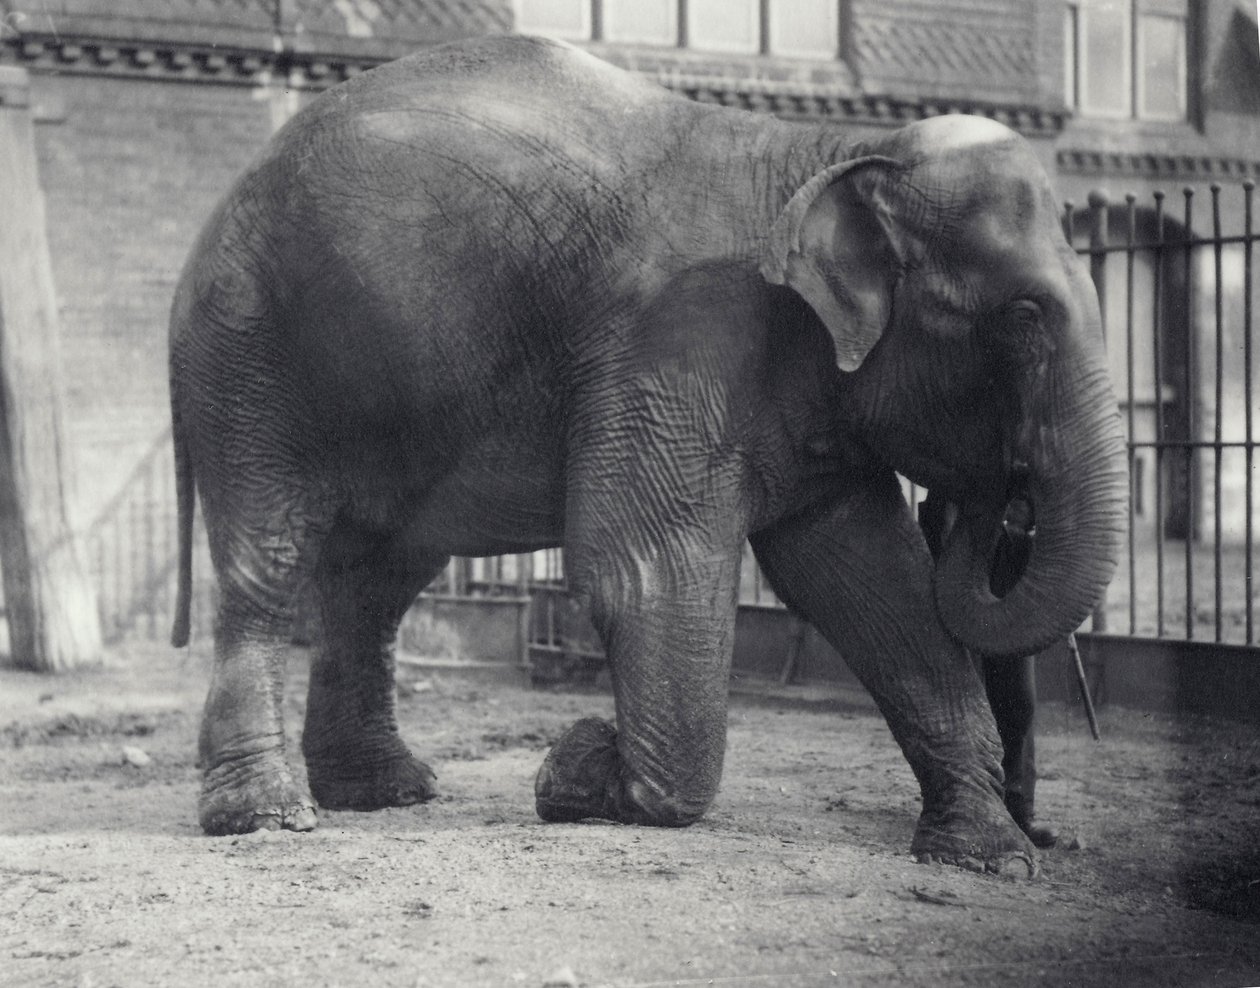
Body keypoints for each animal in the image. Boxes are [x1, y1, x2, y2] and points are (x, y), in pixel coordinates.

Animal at [168, 34, 1126, 873]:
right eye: (1023, 318)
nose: (998, 498)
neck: (825, 153)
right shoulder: (677, 336)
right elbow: (644, 566)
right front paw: (577, 765)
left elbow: (874, 584)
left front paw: (993, 859)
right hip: (249, 358)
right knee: (271, 560)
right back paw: (270, 818)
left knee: (378, 580)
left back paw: (384, 792)